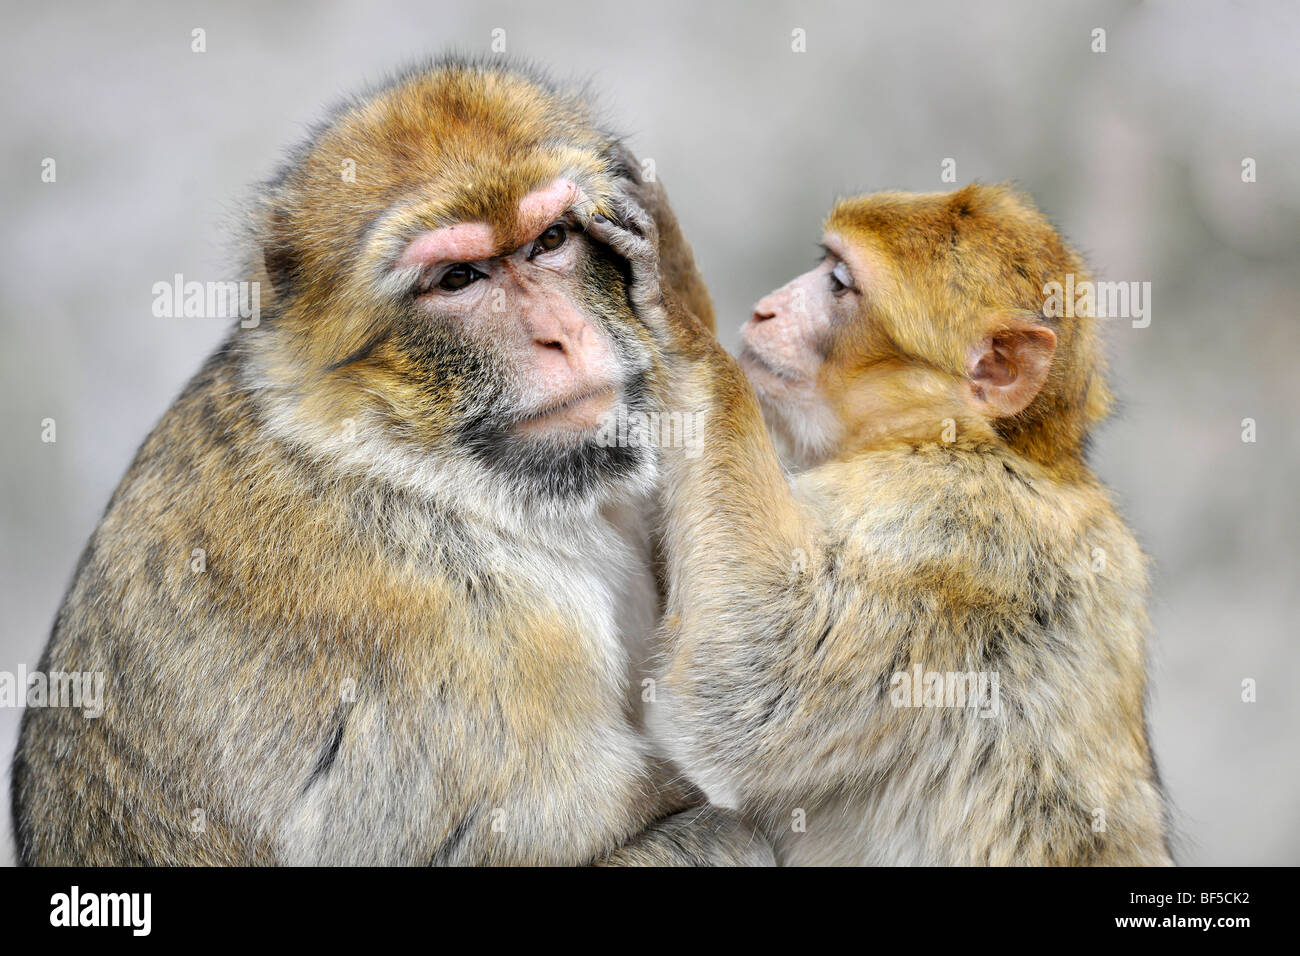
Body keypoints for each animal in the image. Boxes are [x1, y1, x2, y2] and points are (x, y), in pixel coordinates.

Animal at [10, 58, 774, 866]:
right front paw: (682, 328)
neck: (405, 455)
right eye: (458, 279)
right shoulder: (454, 611)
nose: (561, 334)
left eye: (551, 240)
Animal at [586, 182, 1174, 866]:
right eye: (825, 261)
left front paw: (673, 316)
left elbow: (755, 675)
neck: (981, 442)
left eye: (840, 283)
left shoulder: (938, 530)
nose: (766, 311)